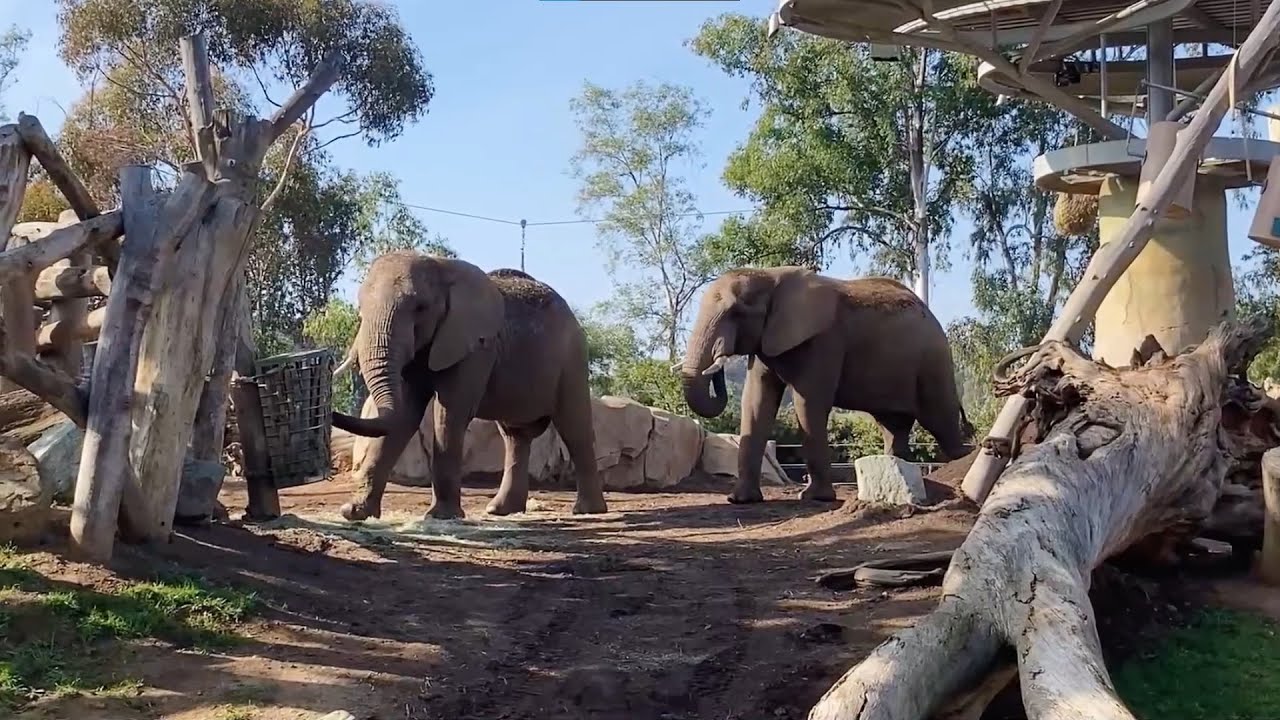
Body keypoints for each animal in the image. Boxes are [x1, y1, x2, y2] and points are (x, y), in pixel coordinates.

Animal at [332, 251, 609, 520]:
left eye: (420, 308)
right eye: (360, 309)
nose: (331, 411)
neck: (440, 267)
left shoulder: (476, 348)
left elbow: (449, 414)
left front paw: (441, 516)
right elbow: (404, 417)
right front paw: (353, 513)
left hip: (572, 360)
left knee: (574, 428)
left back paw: (588, 510)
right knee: (516, 436)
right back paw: (500, 510)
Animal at [679, 266, 974, 505]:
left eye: (737, 312)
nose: (719, 359)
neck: (770, 277)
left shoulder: (825, 341)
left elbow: (808, 404)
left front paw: (815, 498)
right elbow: (756, 402)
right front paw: (740, 500)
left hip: (933, 362)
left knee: (940, 419)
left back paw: (962, 460)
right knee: (893, 425)